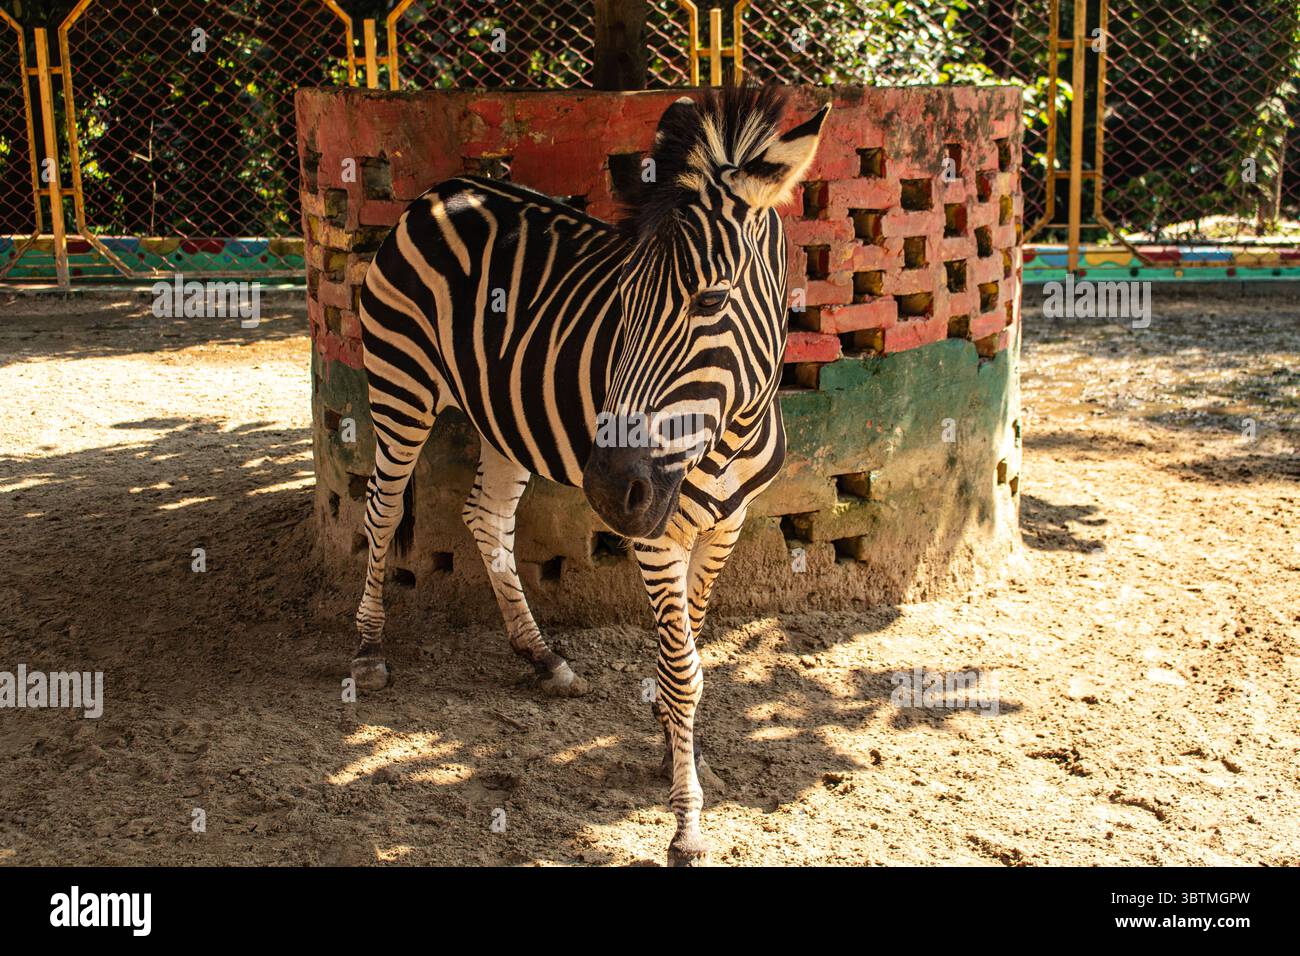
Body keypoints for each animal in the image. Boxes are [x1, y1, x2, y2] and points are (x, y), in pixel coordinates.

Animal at [351, 83, 828, 865]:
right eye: (621, 304)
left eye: (710, 301)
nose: (607, 489)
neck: (729, 432)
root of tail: (442, 189)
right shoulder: (656, 533)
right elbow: (683, 669)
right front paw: (686, 823)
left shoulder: (725, 523)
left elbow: (688, 647)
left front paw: (675, 754)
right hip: (401, 383)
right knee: (383, 512)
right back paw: (367, 651)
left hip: (503, 414)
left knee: (486, 515)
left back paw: (541, 656)